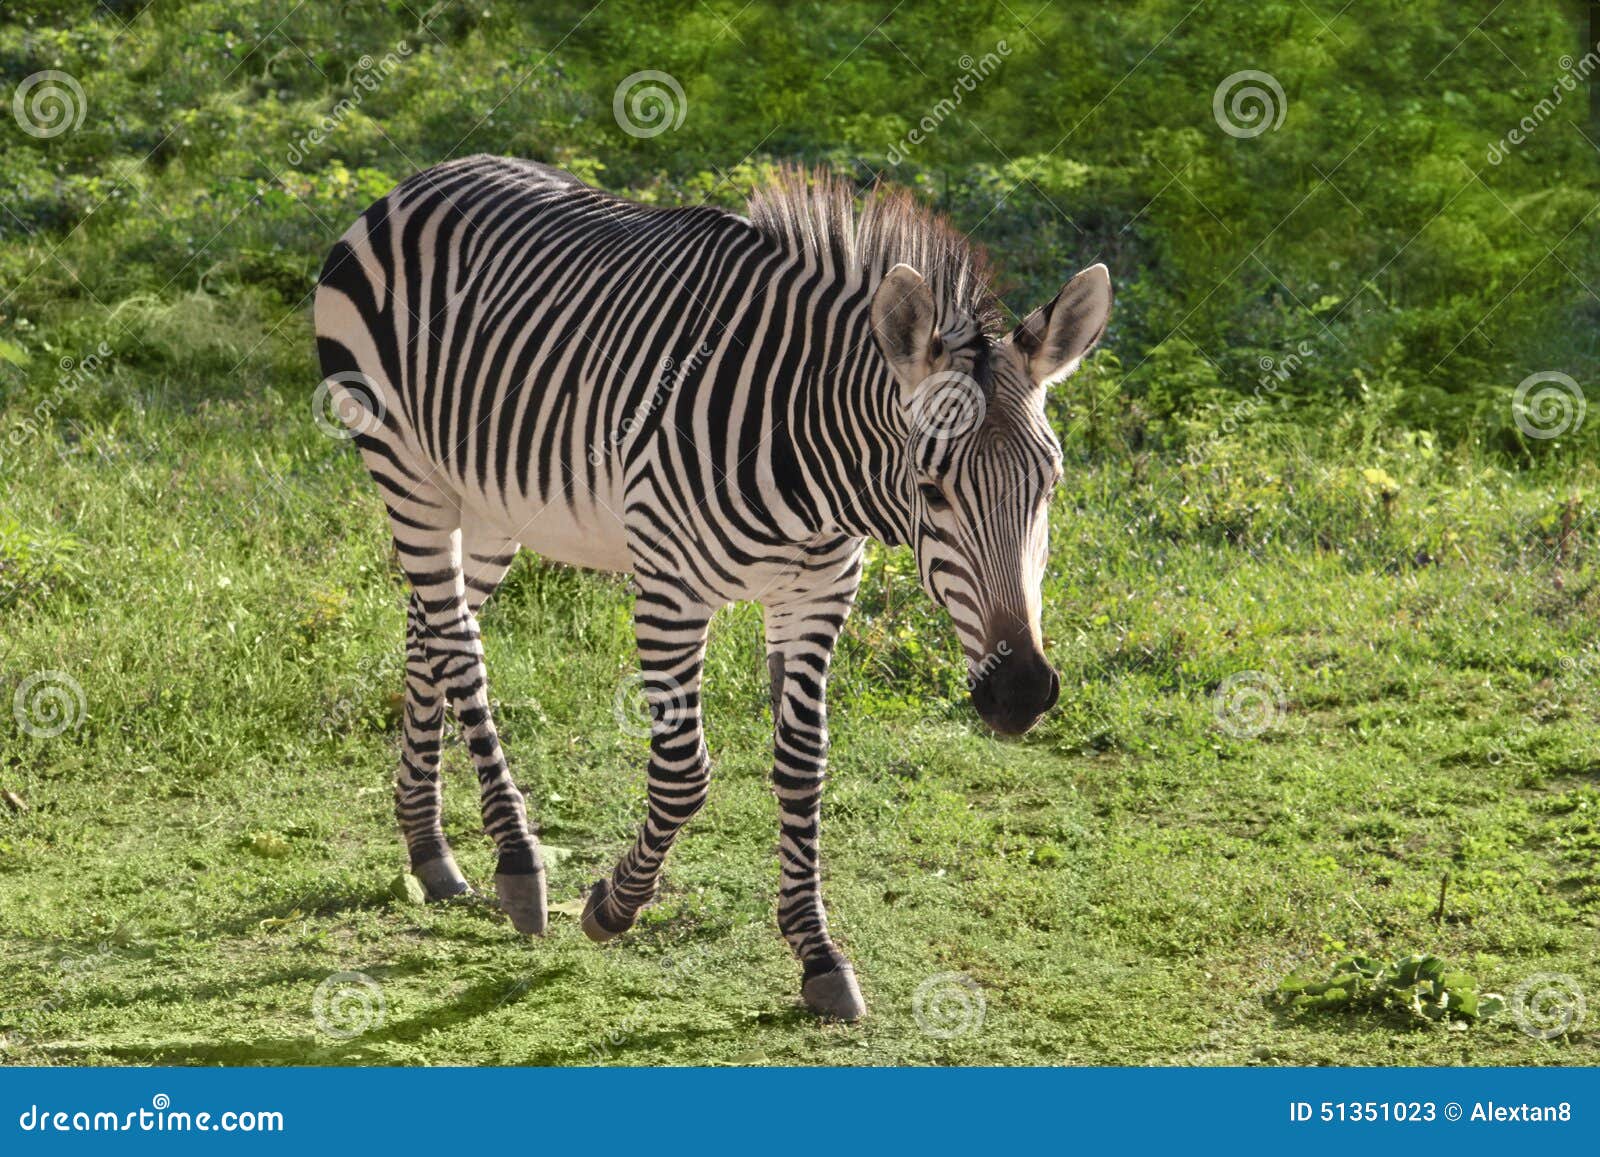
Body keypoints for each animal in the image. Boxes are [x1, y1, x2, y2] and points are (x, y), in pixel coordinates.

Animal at [312, 156, 1111, 1021]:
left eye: (1050, 484)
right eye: (931, 489)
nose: (1021, 691)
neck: (810, 456)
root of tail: (421, 179)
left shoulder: (816, 594)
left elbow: (803, 767)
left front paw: (816, 952)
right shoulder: (671, 588)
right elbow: (684, 772)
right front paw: (613, 906)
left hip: (489, 504)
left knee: (429, 625)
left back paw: (428, 846)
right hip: (409, 473)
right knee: (458, 645)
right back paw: (517, 863)